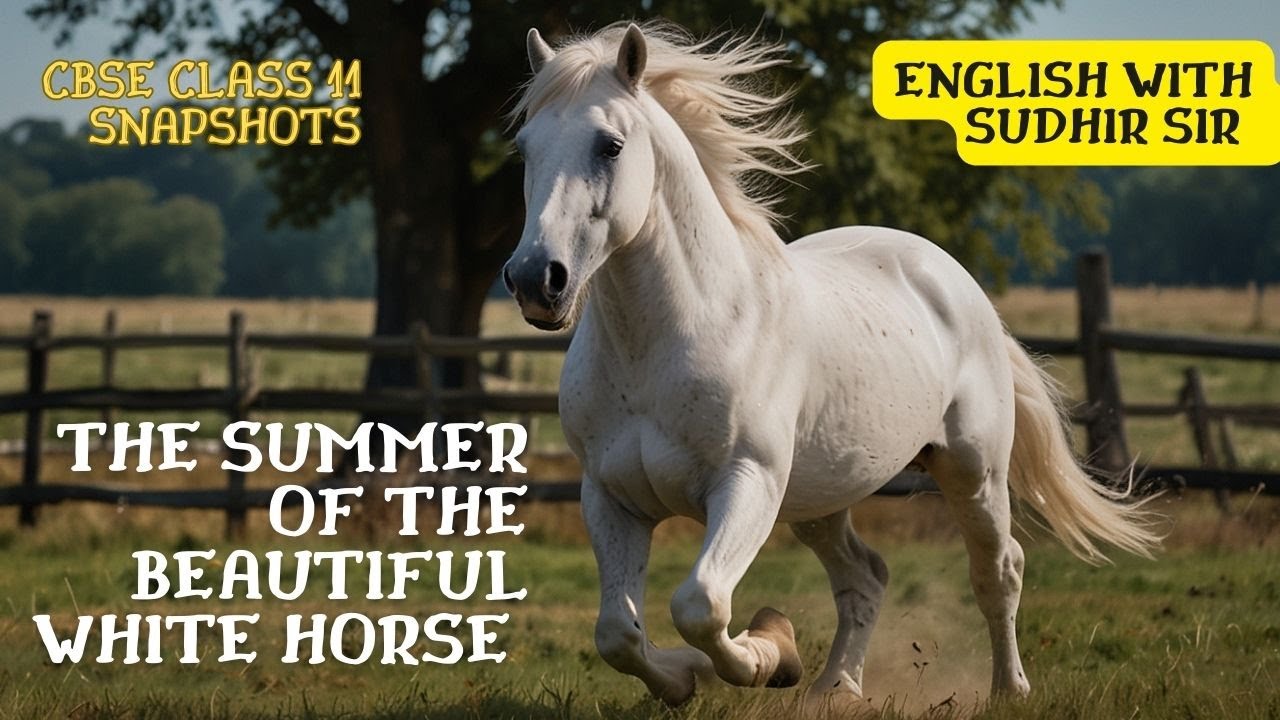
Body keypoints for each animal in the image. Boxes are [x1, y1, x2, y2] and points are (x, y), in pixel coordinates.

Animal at [502, 21, 1160, 707]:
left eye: (610, 145)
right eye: (525, 148)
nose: (535, 280)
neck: (665, 342)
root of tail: (957, 283)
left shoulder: (747, 482)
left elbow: (701, 606)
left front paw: (768, 656)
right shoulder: (611, 496)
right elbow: (618, 634)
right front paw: (689, 677)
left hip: (971, 471)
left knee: (998, 571)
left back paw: (1008, 689)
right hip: (818, 500)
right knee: (865, 576)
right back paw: (837, 687)